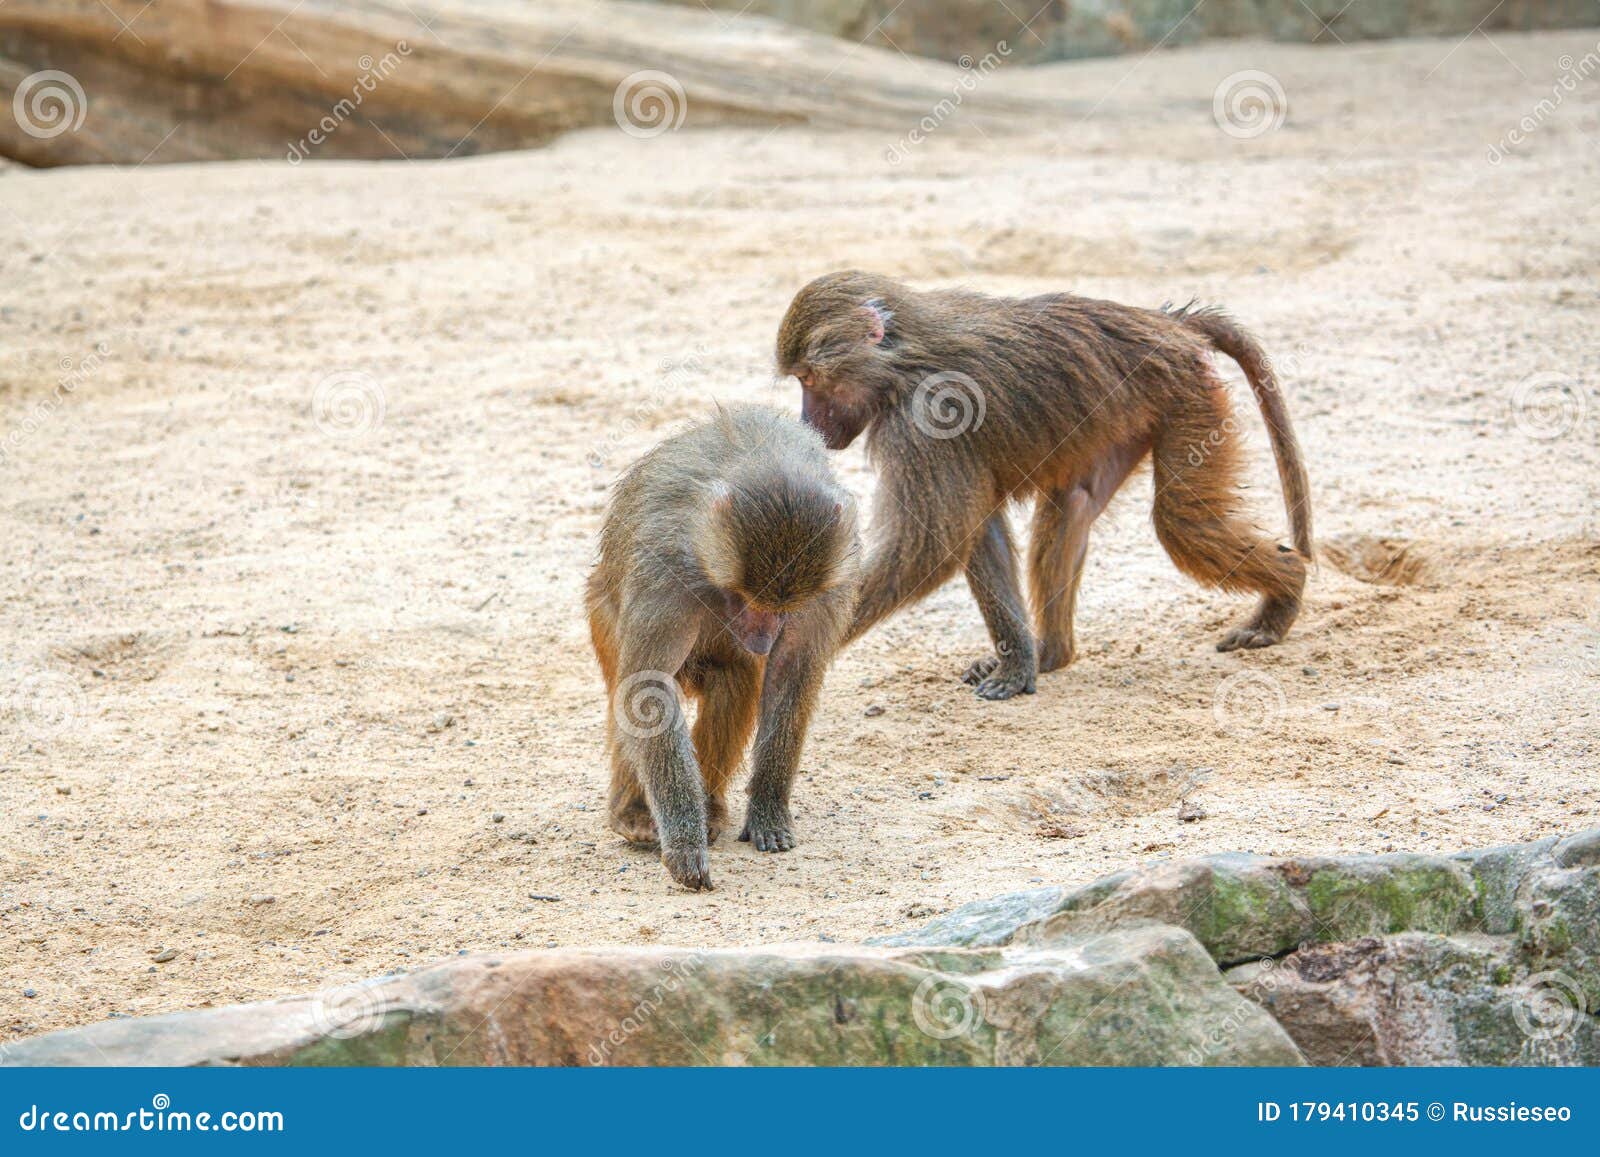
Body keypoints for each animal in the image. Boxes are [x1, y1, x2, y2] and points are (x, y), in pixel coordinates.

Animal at [586, 405, 860, 890]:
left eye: (782, 608)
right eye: (744, 599)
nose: (761, 640)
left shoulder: (833, 578)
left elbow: (792, 673)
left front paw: (768, 811)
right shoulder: (665, 571)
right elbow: (646, 694)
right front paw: (684, 845)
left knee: (731, 684)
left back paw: (709, 807)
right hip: (603, 615)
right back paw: (632, 816)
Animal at [775, 270, 1312, 701]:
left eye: (810, 379)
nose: (808, 425)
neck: (901, 358)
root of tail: (1168, 325)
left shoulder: (924, 424)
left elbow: (928, 549)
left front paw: (791, 644)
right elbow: (977, 532)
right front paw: (1016, 666)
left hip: (1187, 398)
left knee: (1182, 524)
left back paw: (1282, 601)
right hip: (1126, 421)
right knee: (1072, 506)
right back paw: (1052, 653)